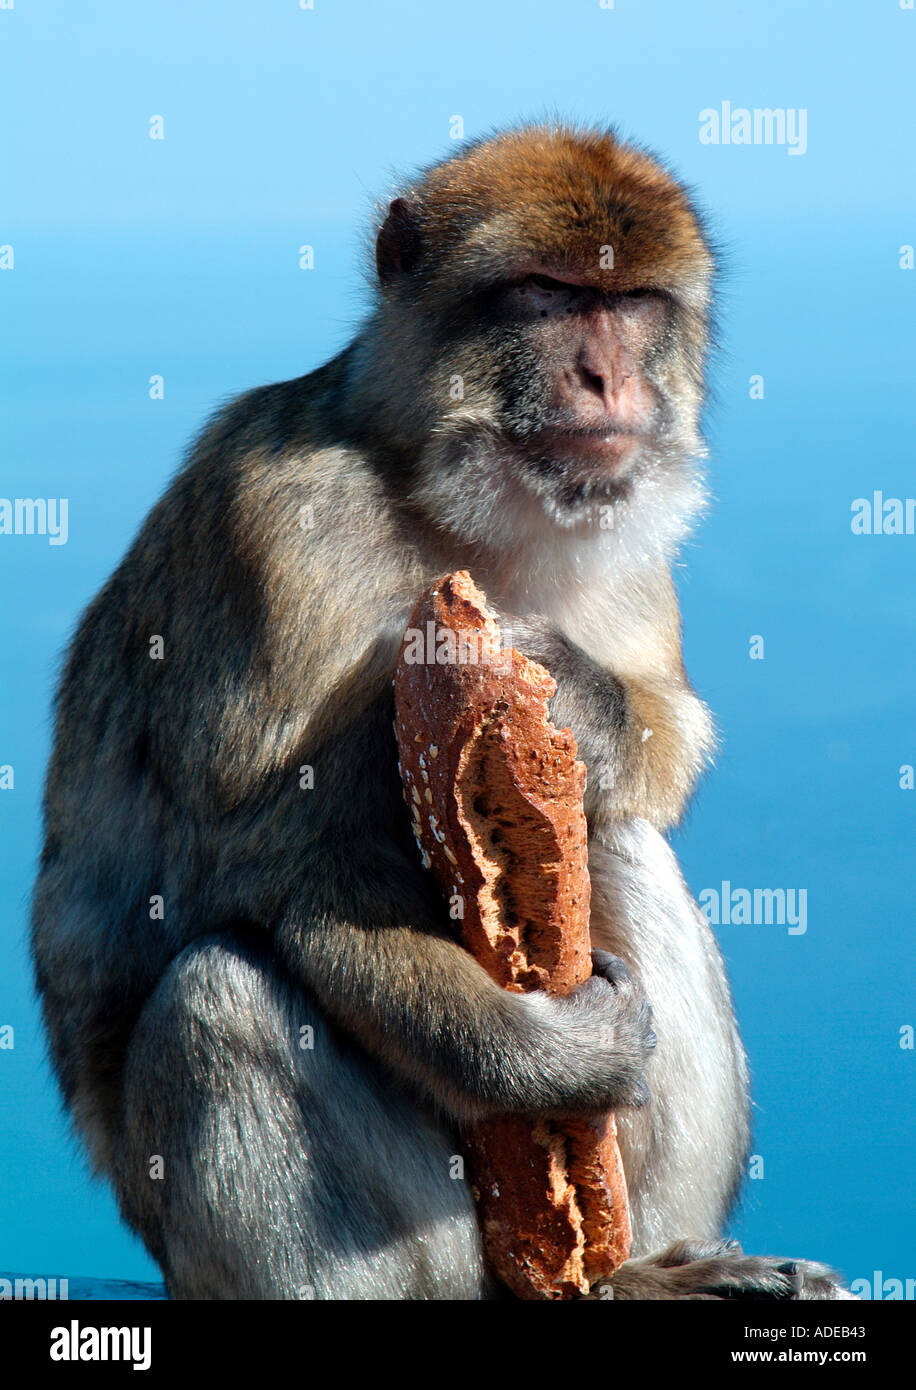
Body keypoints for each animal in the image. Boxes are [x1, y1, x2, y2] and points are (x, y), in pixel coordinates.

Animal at [31, 123, 851, 1300]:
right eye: (548, 294)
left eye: (632, 301)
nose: (605, 375)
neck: (446, 501)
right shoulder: (275, 528)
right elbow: (274, 865)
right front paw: (539, 1059)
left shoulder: (629, 557)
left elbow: (665, 737)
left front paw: (583, 700)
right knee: (216, 997)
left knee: (620, 842)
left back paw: (633, 1268)